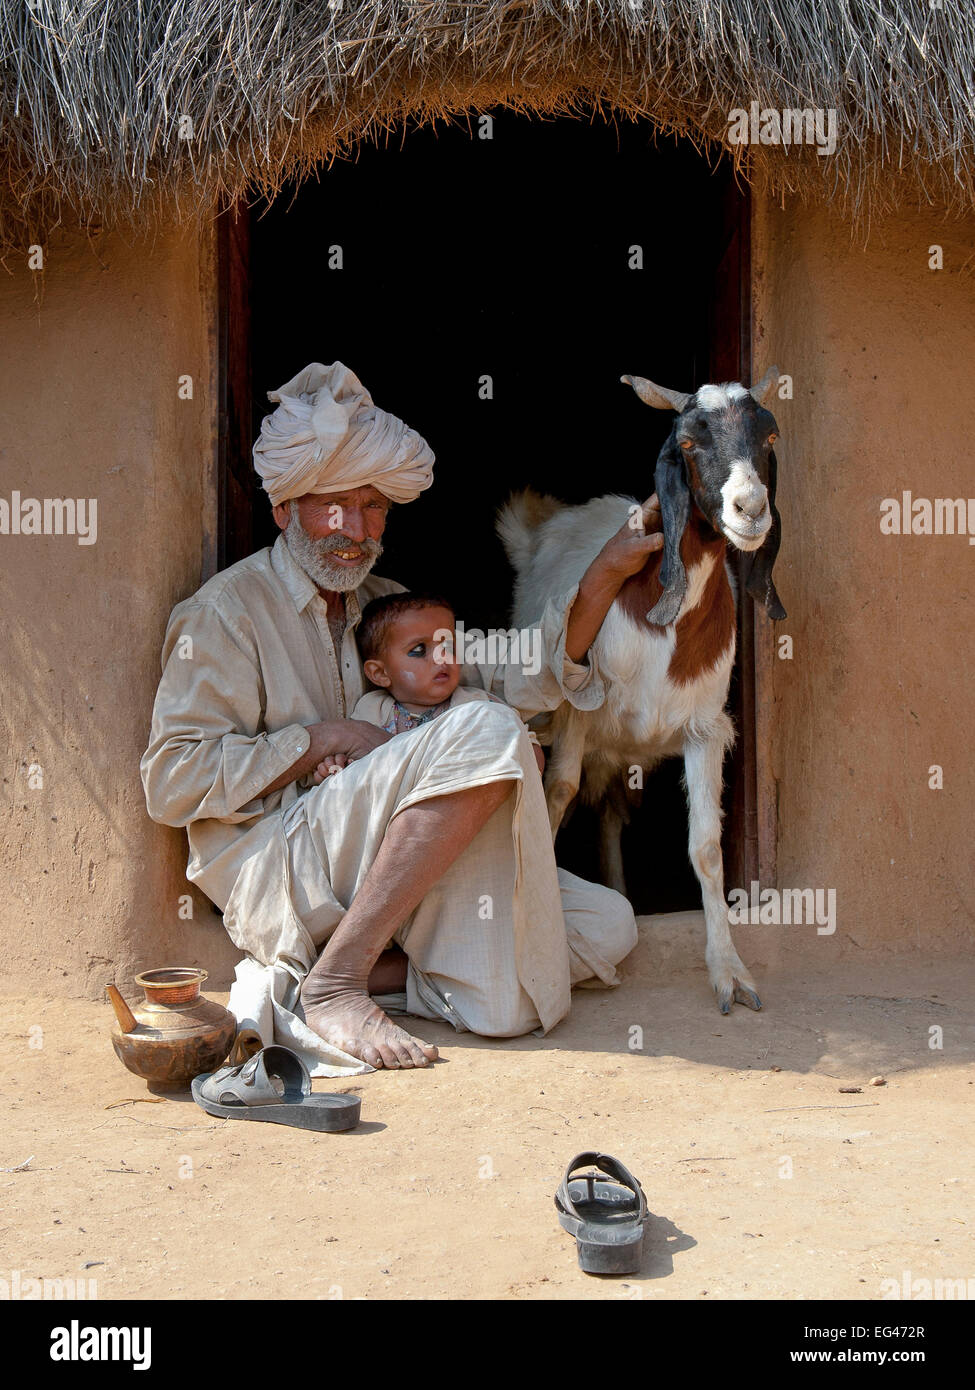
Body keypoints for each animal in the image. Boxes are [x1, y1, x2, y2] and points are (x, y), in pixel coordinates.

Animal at [497, 368, 786, 1014]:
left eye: (769, 437)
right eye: (688, 442)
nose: (751, 509)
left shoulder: (705, 728)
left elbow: (706, 847)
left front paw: (730, 971)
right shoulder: (578, 715)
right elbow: (556, 795)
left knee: (611, 816)